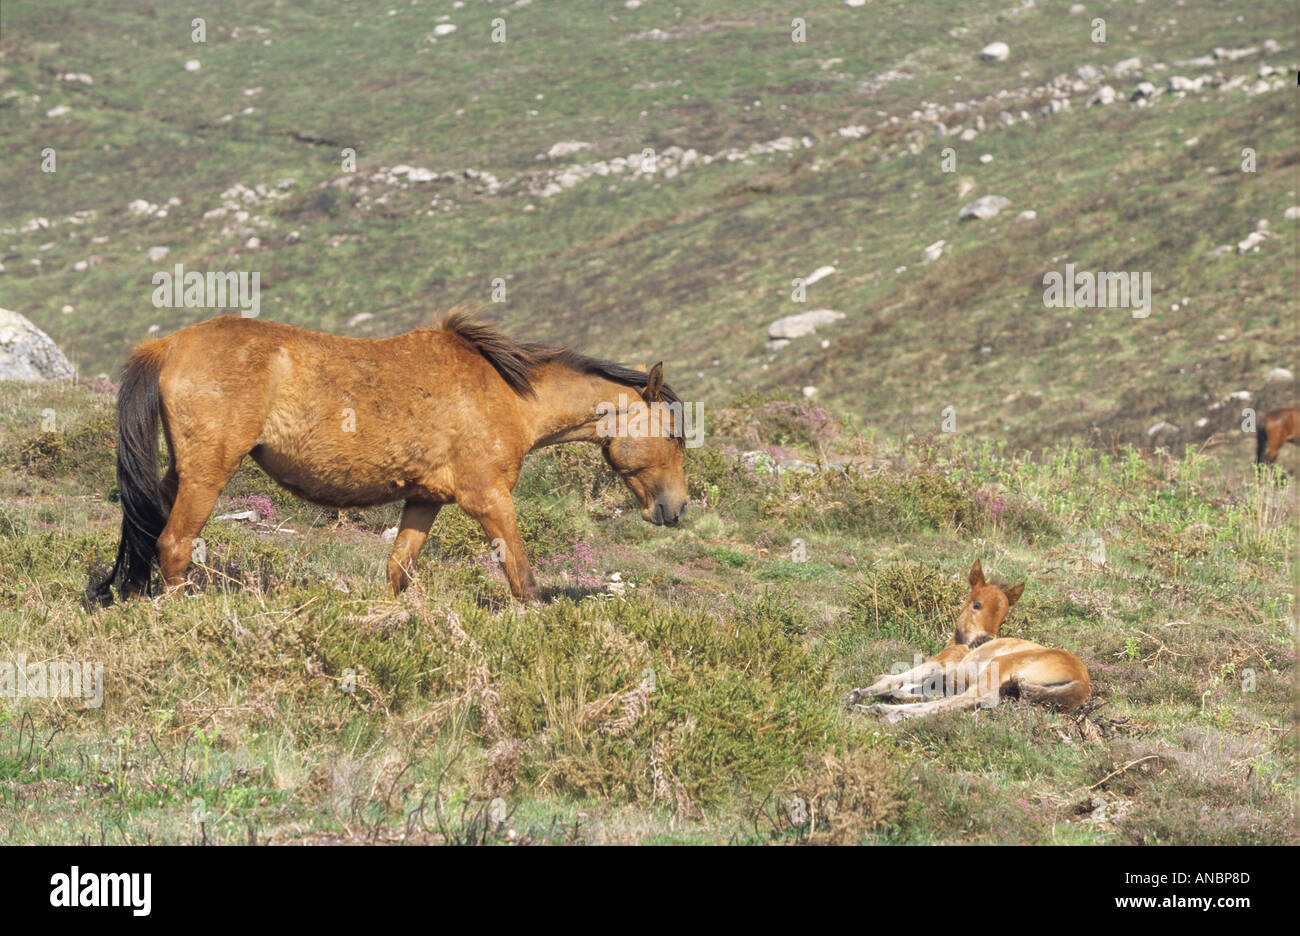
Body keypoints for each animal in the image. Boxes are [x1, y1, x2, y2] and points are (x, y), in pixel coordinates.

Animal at [88, 308, 688, 604]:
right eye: (675, 435)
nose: (676, 508)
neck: (505, 393)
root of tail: (168, 345)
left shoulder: (425, 501)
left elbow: (398, 572)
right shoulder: (490, 499)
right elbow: (523, 579)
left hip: (180, 474)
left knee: (146, 530)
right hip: (208, 475)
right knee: (173, 546)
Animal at [844, 560, 1089, 723]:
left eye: (1004, 617)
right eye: (977, 604)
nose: (984, 641)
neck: (960, 643)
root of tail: (1082, 683)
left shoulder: (943, 662)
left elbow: (889, 680)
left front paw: (855, 695)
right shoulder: (946, 679)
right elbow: (905, 688)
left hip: (999, 665)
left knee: (980, 696)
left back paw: (885, 711)